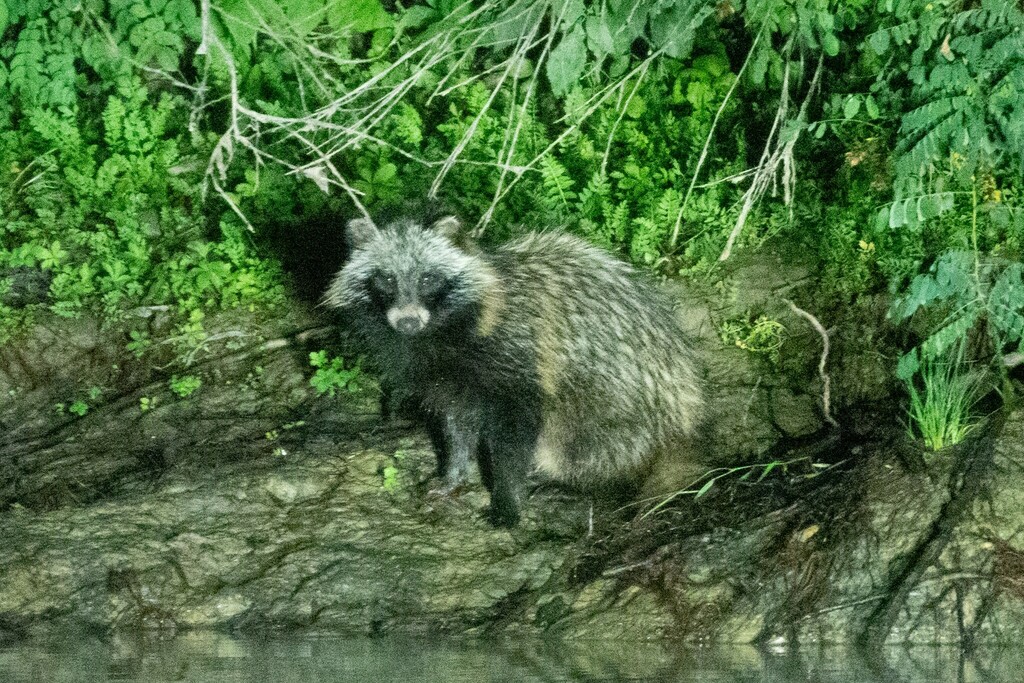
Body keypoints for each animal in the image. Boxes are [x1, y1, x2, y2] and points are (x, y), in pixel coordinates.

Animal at [325, 215, 706, 526]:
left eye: (428, 277)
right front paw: (454, 474)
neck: (438, 329)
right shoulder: (446, 376)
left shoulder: (518, 353)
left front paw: (507, 499)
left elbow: (513, 434)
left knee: (583, 439)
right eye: (386, 278)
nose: (407, 322)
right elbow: (455, 424)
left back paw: (570, 476)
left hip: (611, 403)